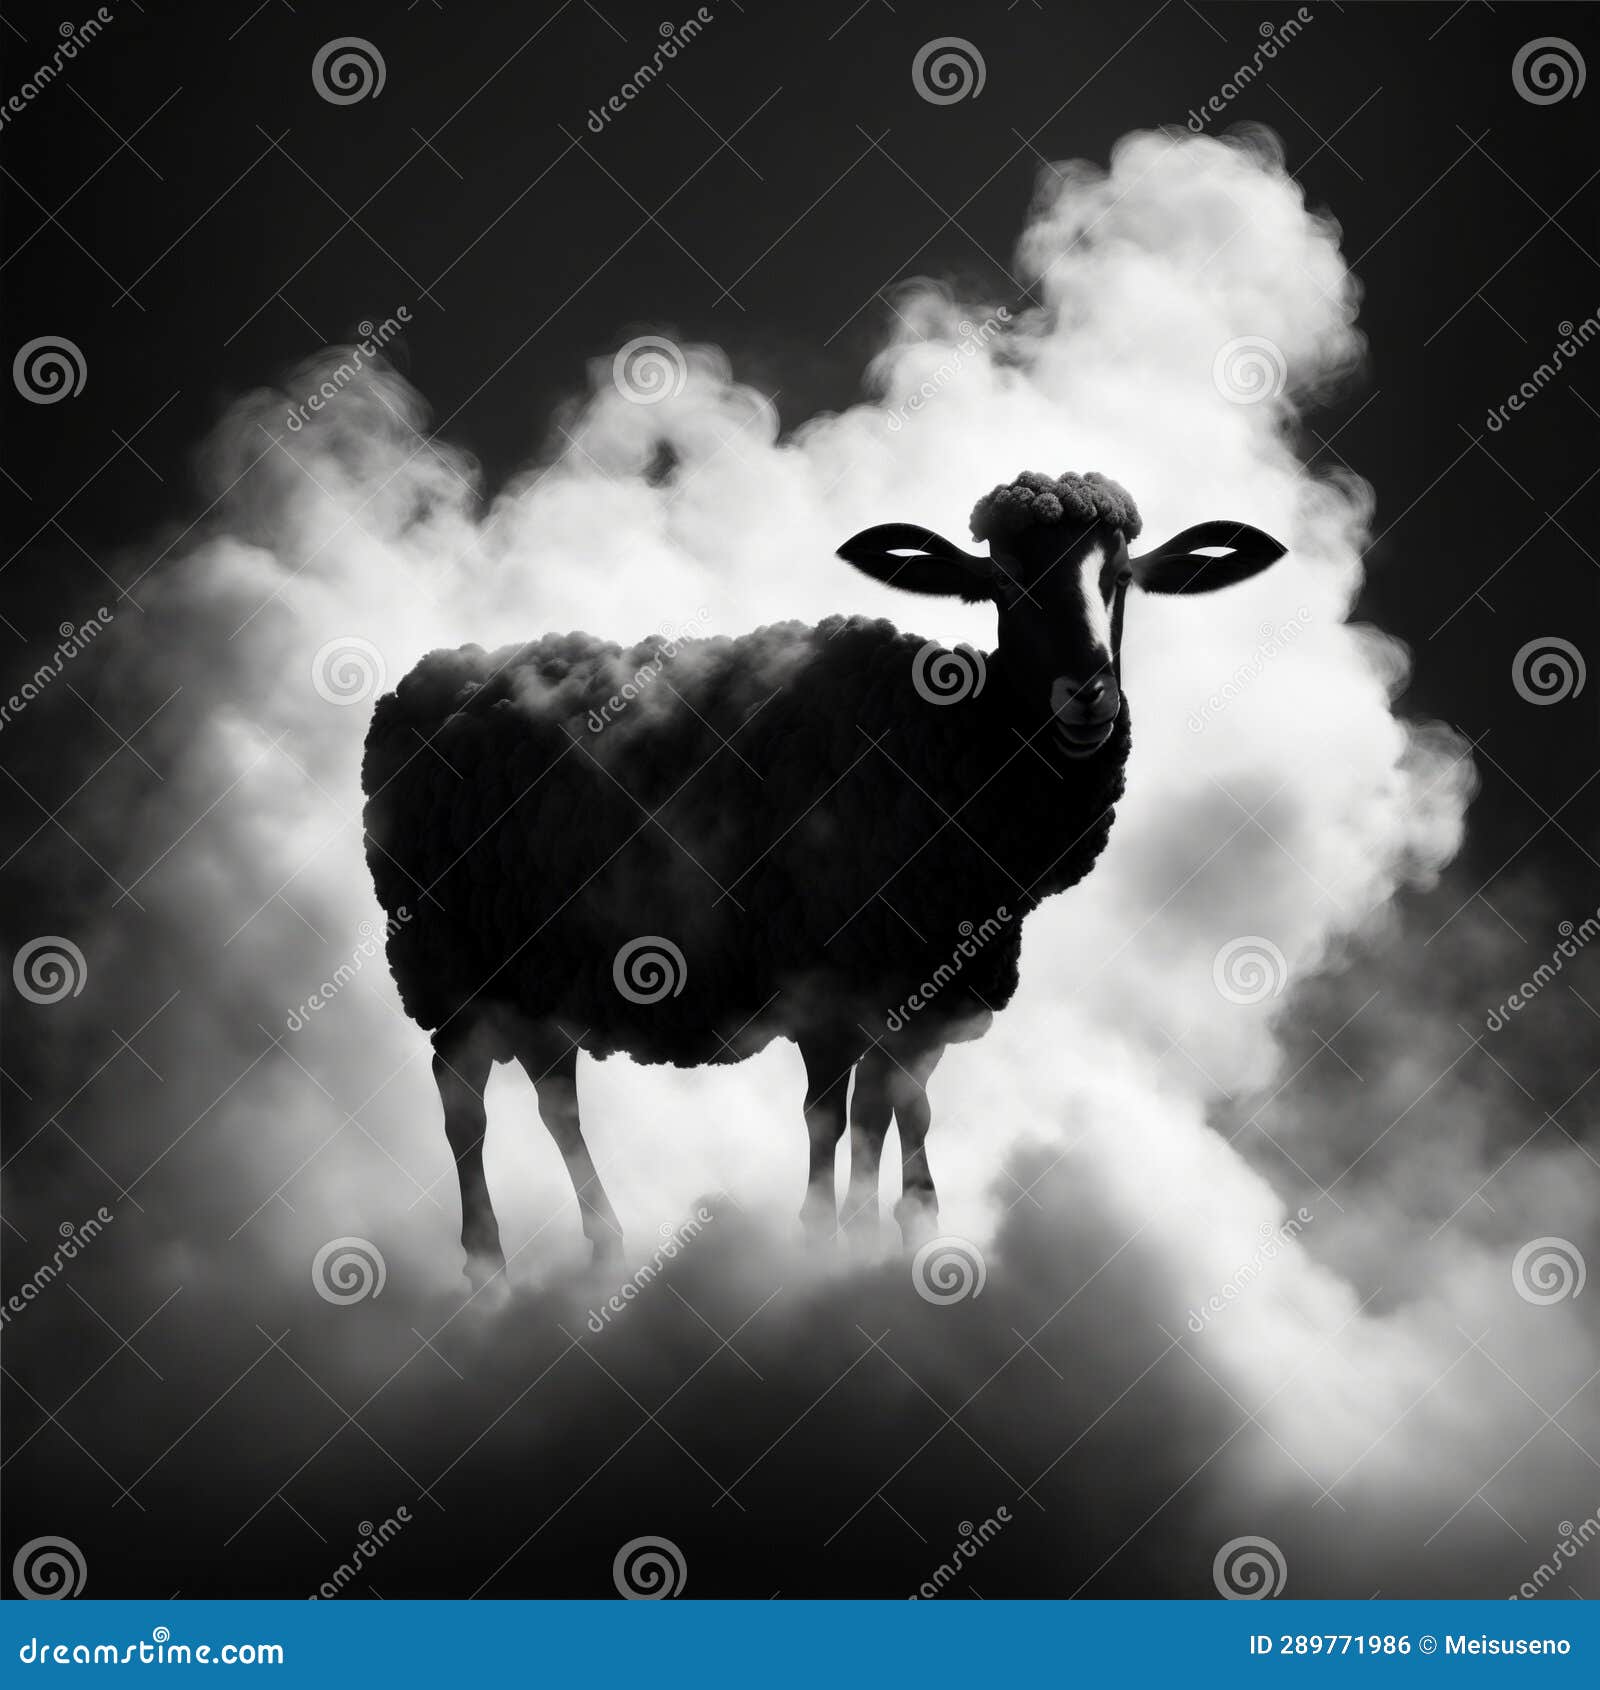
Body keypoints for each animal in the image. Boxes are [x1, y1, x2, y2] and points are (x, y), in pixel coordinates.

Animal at [361, 470, 1285, 1281]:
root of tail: (419, 684)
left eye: (1121, 579)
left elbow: (898, 1111)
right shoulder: (827, 987)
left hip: (537, 970)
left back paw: (605, 1247)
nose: (1087, 693)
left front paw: (904, 1235)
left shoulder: (926, 984)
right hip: (449, 960)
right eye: (1003, 583)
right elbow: (833, 1121)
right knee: (462, 1098)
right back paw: (488, 1268)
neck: (947, 745)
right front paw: (827, 1249)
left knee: (553, 1095)